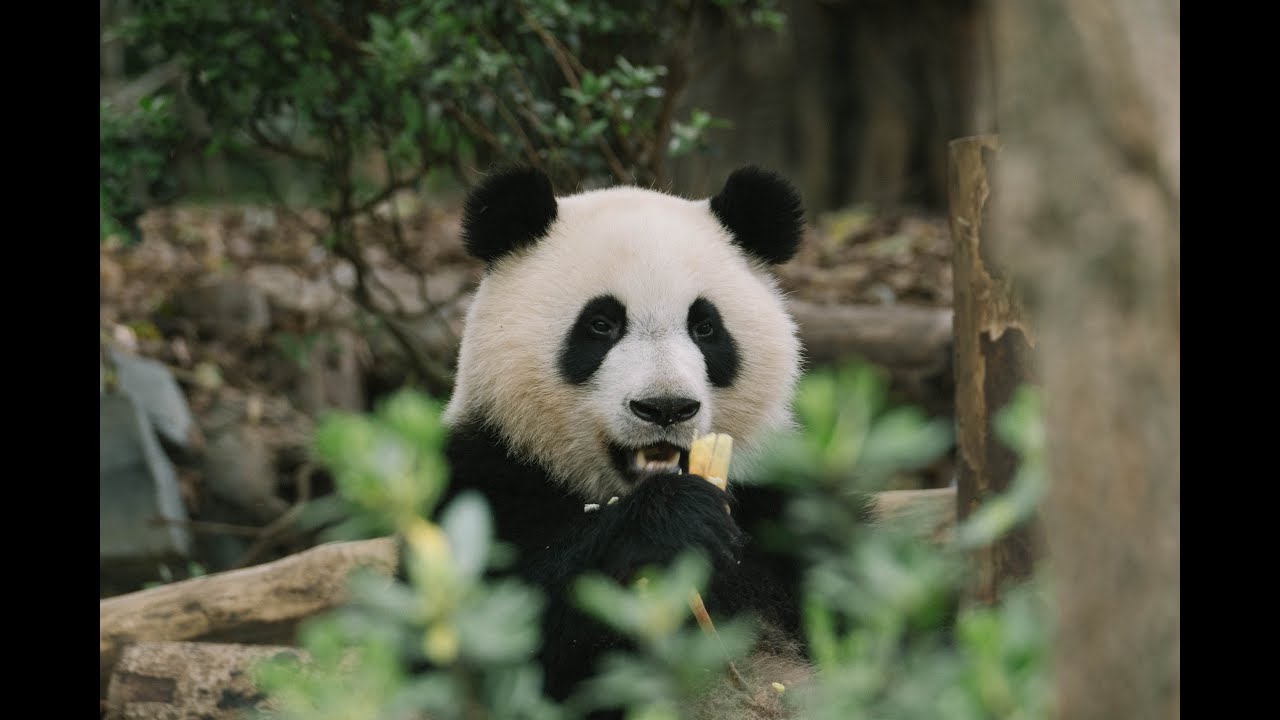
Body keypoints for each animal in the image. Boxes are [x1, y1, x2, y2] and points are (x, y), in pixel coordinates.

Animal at [439, 165, 811, 717]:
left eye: (705, 327)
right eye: (601, 324)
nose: (666, 407)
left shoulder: (783, 495)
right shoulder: (486, 473)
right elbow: (500, 635)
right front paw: (675, 521)